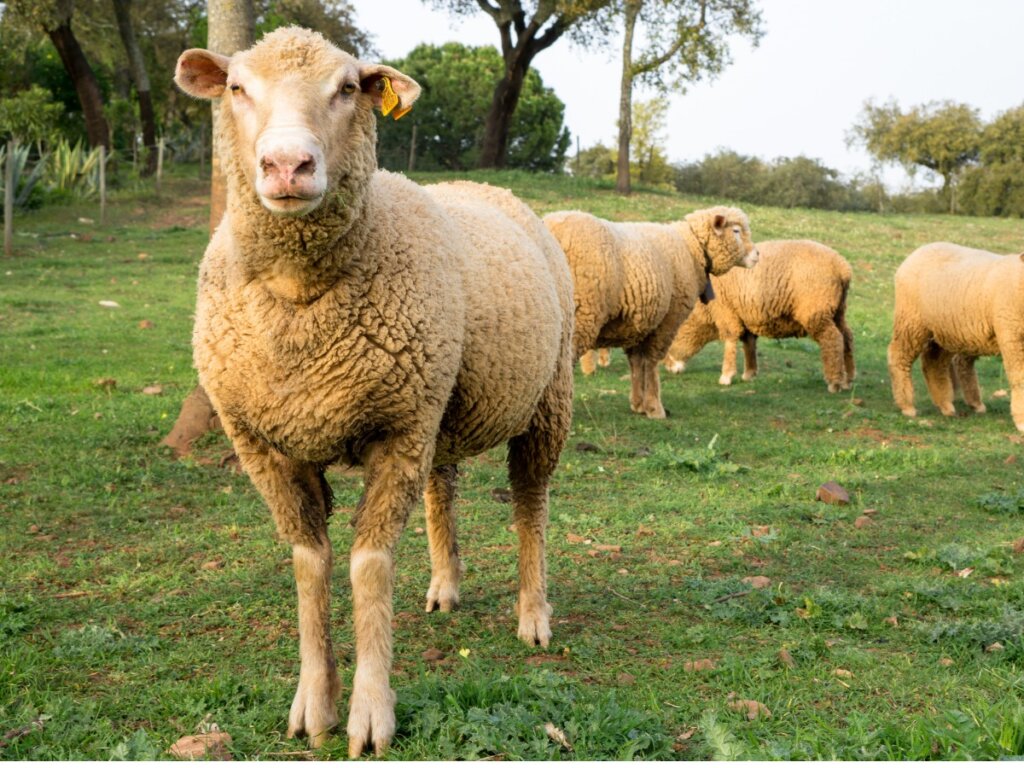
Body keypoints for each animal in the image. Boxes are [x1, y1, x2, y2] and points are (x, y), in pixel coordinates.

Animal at [174, 27, 574, 757]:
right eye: (237, 88)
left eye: (346, 88)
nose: (287, 165)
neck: (301, 298)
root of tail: (482, 184)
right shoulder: (266, 446)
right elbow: (310, 565)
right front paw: (314, 704)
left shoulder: (395, 433)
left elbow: (368, 568)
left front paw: (369, 713)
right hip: (441, 404)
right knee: (443, 488)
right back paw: (445, 585)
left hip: (544, 398)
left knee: (531, 504)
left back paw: (534, 614)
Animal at [543, 207, 758, 418]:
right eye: (736, 231)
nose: (757, 254)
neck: (691, 247)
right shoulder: (668, 320)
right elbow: (652, 361)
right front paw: (655, 408)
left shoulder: (639, 324)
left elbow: (637, 362)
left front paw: (638, 404)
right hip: (580, 316)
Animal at [663, 239, 855, 392]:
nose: (668, 368)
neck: (704, 312)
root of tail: (842, 268)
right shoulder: (744, 315)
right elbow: (749, 344)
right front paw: (749, 373)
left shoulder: (726, 311)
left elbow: (731, 339)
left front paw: (726, 376)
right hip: (837, 310)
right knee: (847, 337)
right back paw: (849, 379)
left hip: (817, 312)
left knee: (833, 340)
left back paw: (835, 383)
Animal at [888, 241, 1024, 430]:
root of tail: (921, 249)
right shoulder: (1011, 335)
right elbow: (1019, 377)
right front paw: (1021, 421)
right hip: (911, 320)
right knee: (899, 356)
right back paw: (907, 406)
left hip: (945, 332)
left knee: (933, 363)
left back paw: (946, 405)